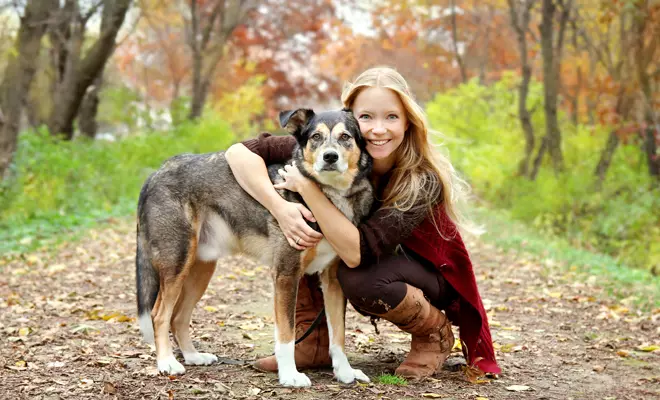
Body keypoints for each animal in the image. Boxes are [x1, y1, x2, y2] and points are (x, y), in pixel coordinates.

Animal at [135, 108, 372, 386]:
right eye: (316, 136)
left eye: (345, 137)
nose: (330, 157)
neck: (327, 198)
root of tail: (157, 173)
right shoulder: (286, 275)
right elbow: (286, 335)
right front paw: (289, 375)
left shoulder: (333, 281)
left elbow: (339, 335)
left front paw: (345, 372)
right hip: (178, 263)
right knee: (160, 314)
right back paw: (166, 363)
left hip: (200, 270)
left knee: (178, 317)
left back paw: (193, 356)